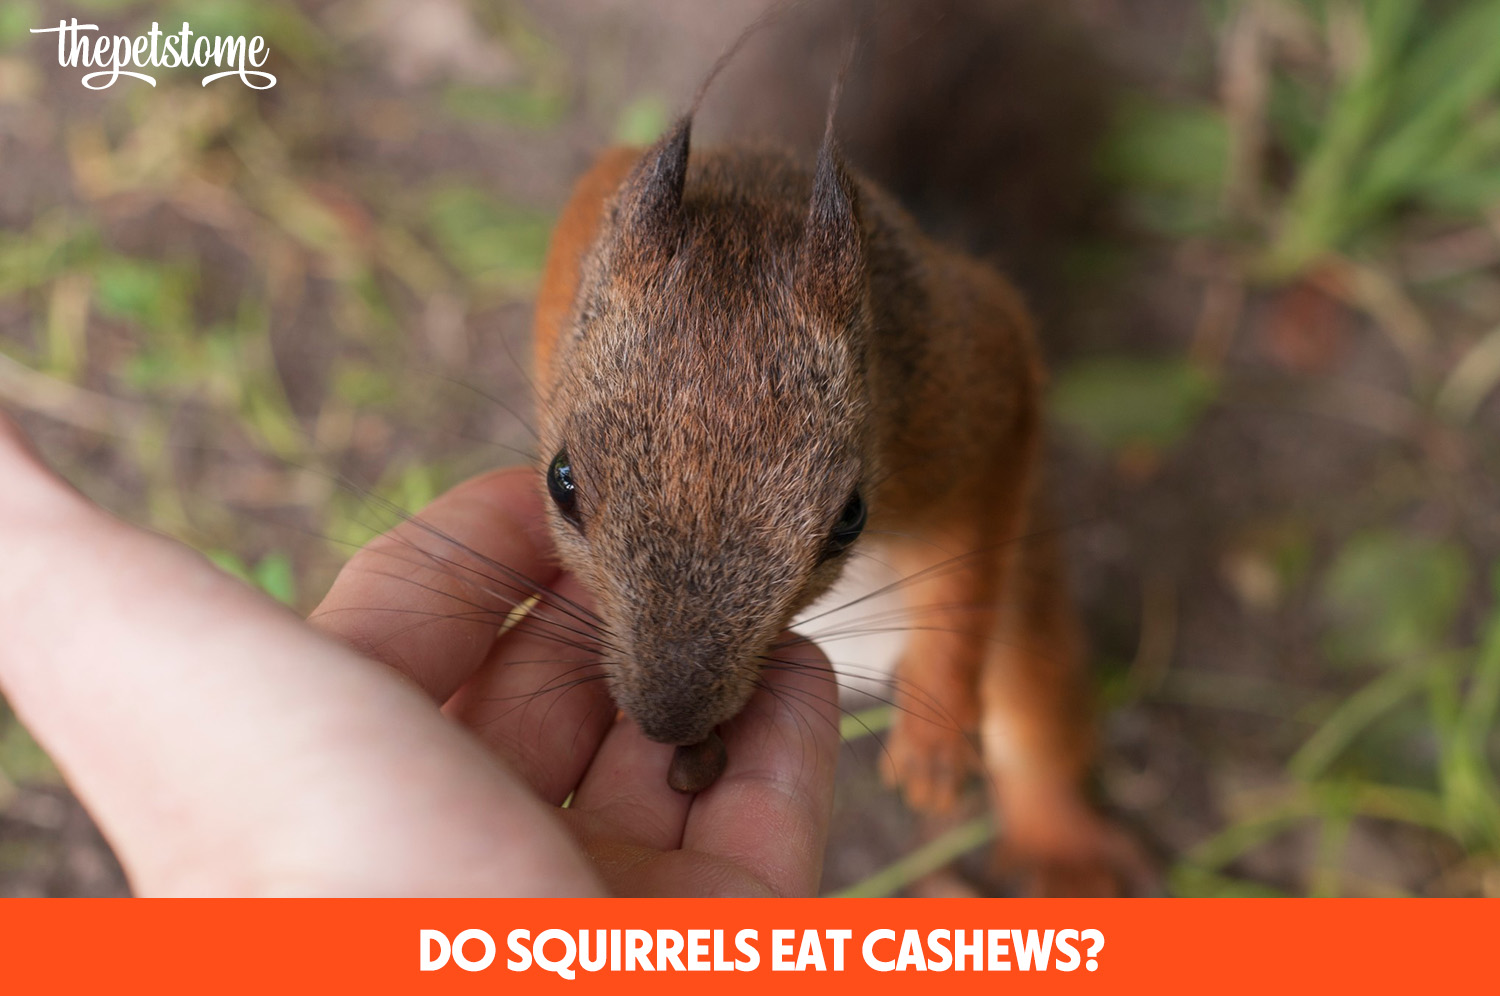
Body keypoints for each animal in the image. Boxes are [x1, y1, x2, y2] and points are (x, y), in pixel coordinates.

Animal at [528, 0, 1143, 894]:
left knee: (1037, 738)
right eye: (562, 480)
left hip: (1031, 642)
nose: (671, 720)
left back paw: (1060, 852)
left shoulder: (967, 375)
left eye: (849, 519)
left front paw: (933, 733)